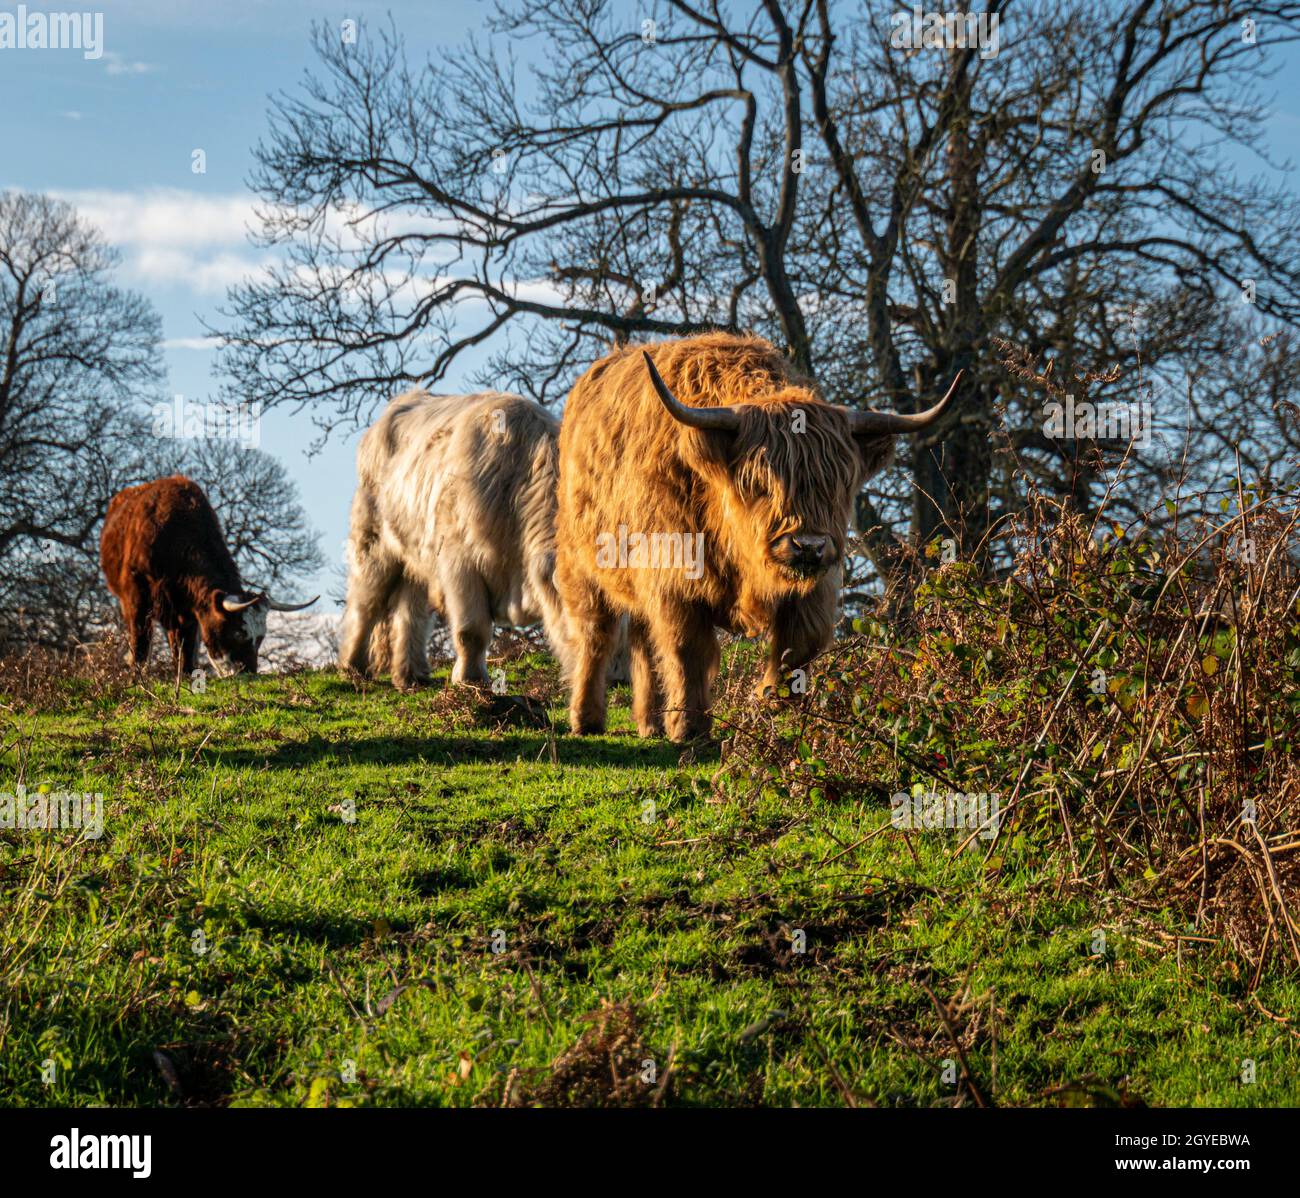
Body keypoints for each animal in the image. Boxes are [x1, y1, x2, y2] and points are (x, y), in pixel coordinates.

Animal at [100, 475, 317, 676]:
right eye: (238, 632)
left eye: (261, 637)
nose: (248, 673)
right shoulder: (136, 597)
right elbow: (140, 642)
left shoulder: (186, 611)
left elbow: (185, 648)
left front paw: (185, 675)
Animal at [339, 390, 628, 691]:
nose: (617, 678)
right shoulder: (459, 562)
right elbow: (472, 630)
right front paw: (470, 679)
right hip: (372, 541)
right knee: (365, 603)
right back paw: (353, 666)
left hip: (414, 555)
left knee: (411, 611)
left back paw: (412, 674)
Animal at [555, 332, 961, 742]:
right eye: (761, 483)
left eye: (838, 486)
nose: (808, 546)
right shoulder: (674, 576)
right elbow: (686, 649)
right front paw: (689, 726)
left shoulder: (817, 584)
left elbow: (801, 643)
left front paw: (773, 706)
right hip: (583, 563)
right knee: (596, 636)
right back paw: (586, 718)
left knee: (642, 639)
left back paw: (650, 722)